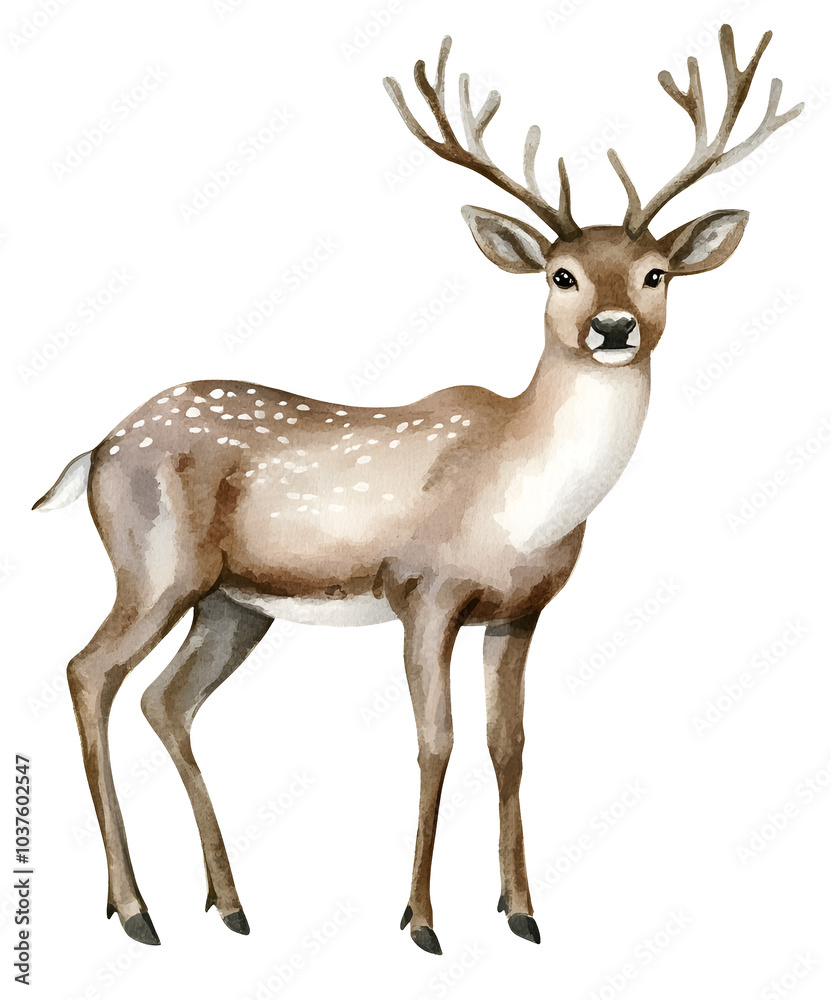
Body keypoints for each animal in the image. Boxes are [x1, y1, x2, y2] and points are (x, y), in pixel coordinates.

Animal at [33, 26, 801, 954]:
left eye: (655, 272)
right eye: (560, 275)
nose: (612, 328)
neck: (518, 497)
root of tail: (98, 448)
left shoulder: (519, 611)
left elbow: (508, 744)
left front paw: (520, 910)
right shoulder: (423, 594)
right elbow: (435, 742)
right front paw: (421, 921)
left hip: (232, 602)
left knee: (165, 700)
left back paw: (228, 903)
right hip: (154, 565)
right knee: (88, 672)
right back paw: (136, 909)